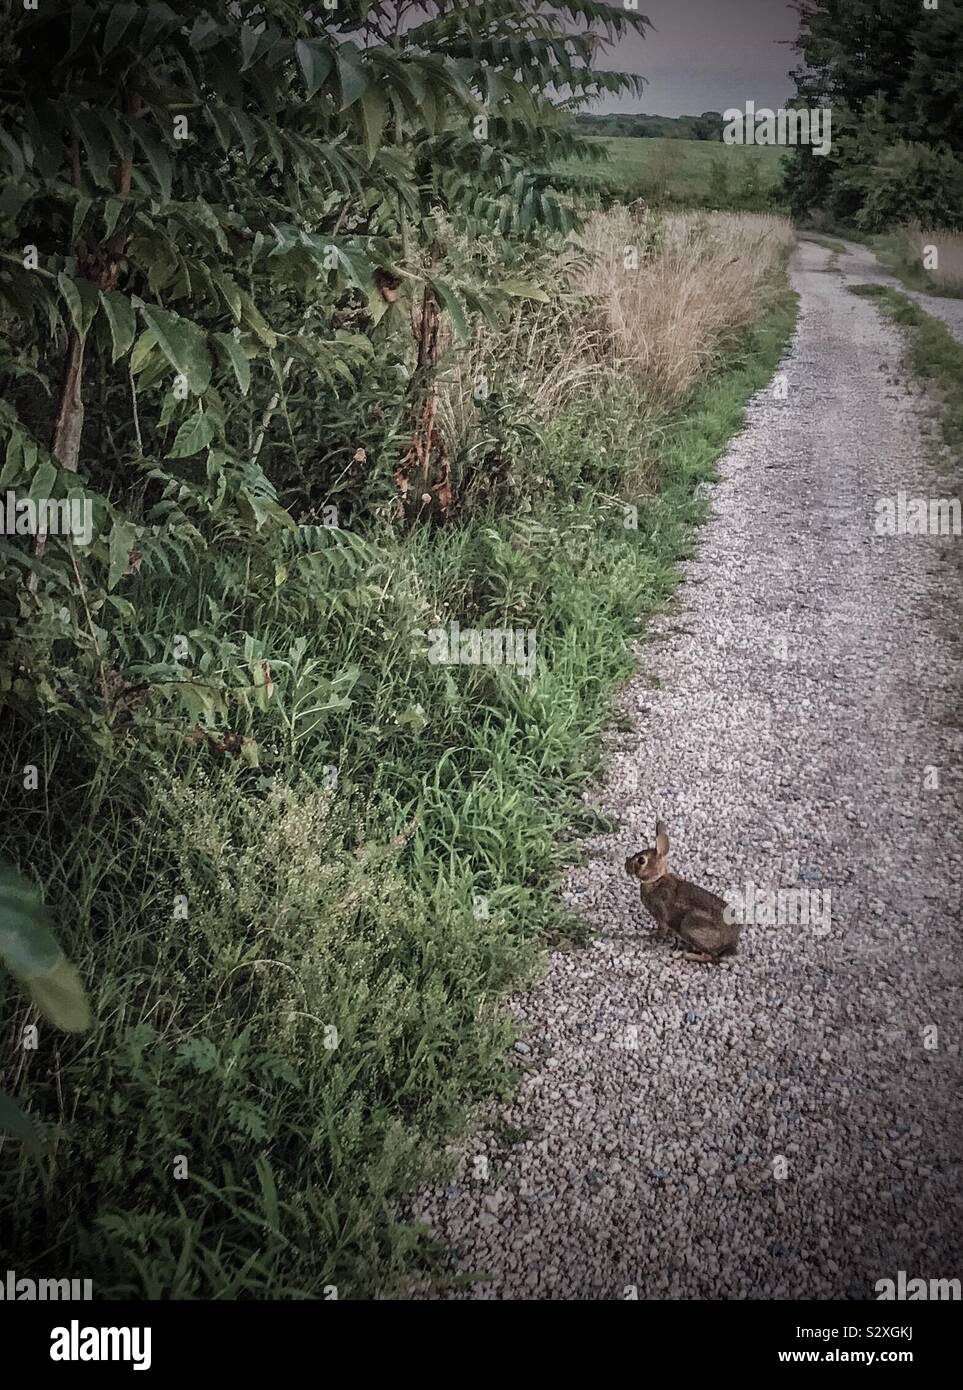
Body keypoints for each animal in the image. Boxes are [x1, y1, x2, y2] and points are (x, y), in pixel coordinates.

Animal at [624, 820, 739, 963]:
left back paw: (687, 955)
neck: (656, 880)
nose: (626, 866)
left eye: (641, 860)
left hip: (689, 927)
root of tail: (729, 944)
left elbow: (662, 929)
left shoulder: (661, 915)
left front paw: (653, 937)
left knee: (711, 956)